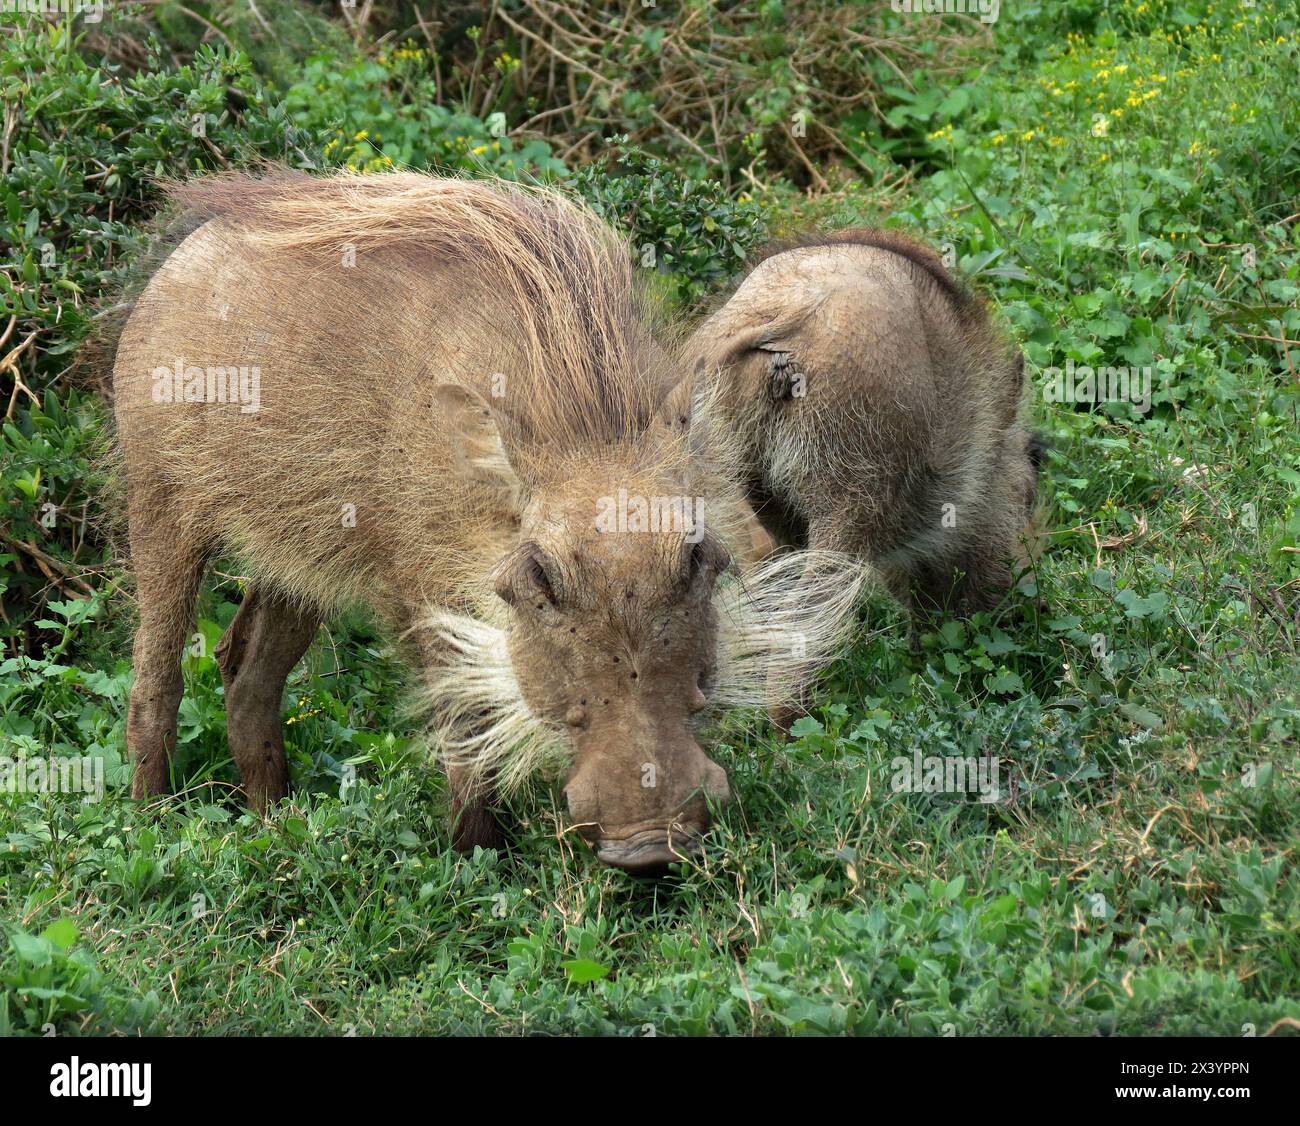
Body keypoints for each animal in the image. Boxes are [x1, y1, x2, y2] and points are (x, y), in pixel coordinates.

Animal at [104, 170, 865, 874]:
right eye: (541, 577)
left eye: (699, 559)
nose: (651, 843)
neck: (577, 418)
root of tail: (177, 260)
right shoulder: (415, 586)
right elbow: (462, 721)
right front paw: (479, 858)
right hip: (159, 497)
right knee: (156, 673)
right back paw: (149, 824)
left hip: (296, 552)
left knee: (247, 666)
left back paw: (276, 823)